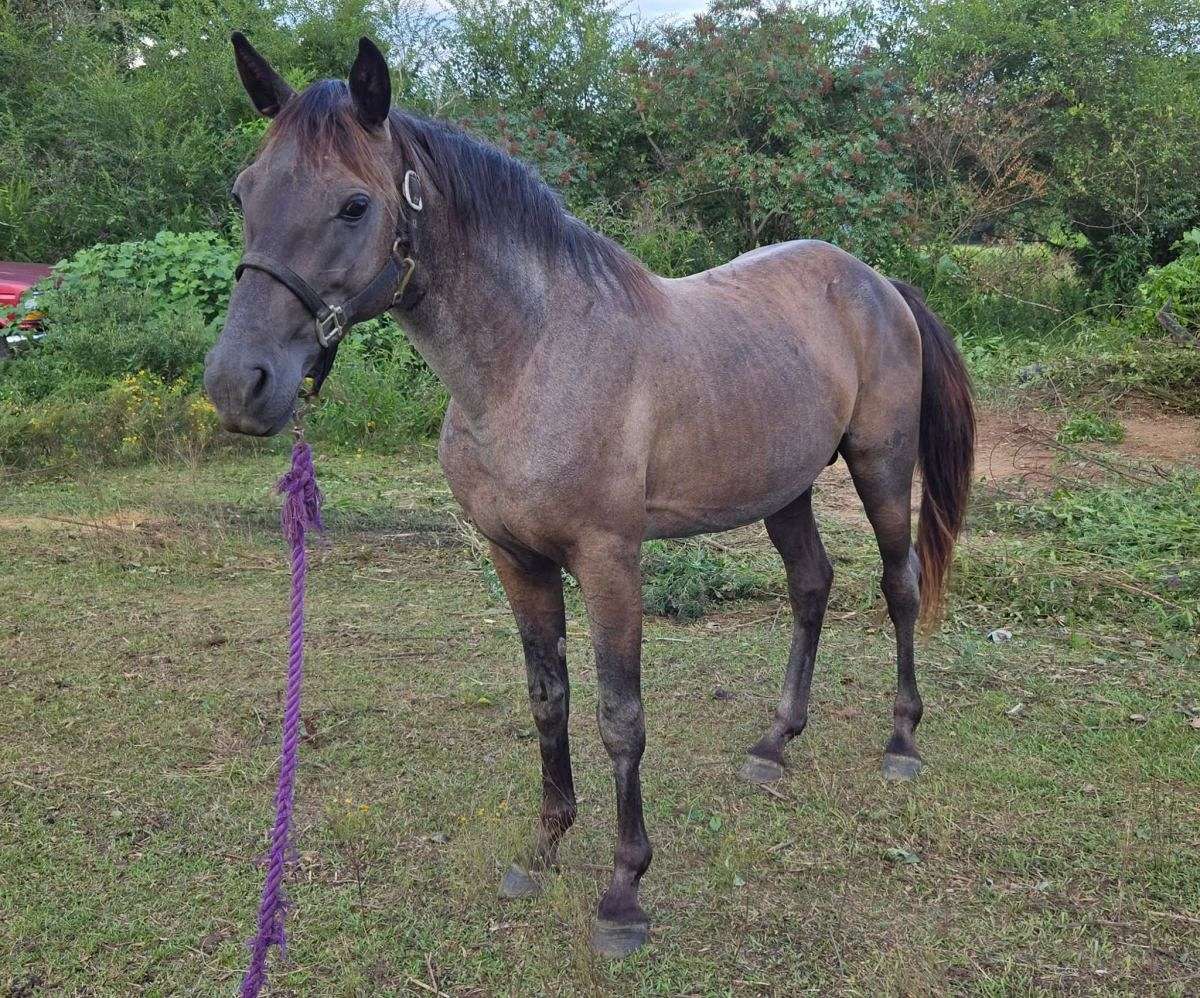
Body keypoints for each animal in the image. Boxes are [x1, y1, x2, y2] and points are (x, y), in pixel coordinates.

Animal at [204, 35, 975, 958]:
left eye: (354, 205)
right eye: (244, 191)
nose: (238, 384)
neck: (535, 358)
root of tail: (877, 283)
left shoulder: (610, 561)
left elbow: (619, 715)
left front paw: (624, 891)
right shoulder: (517, 561)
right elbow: (550, 701)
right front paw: (542, 849)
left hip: (880, 465)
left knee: (897, 585)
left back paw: (901, 739)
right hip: (784, 487)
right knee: (812, 586)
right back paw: (775, 743)